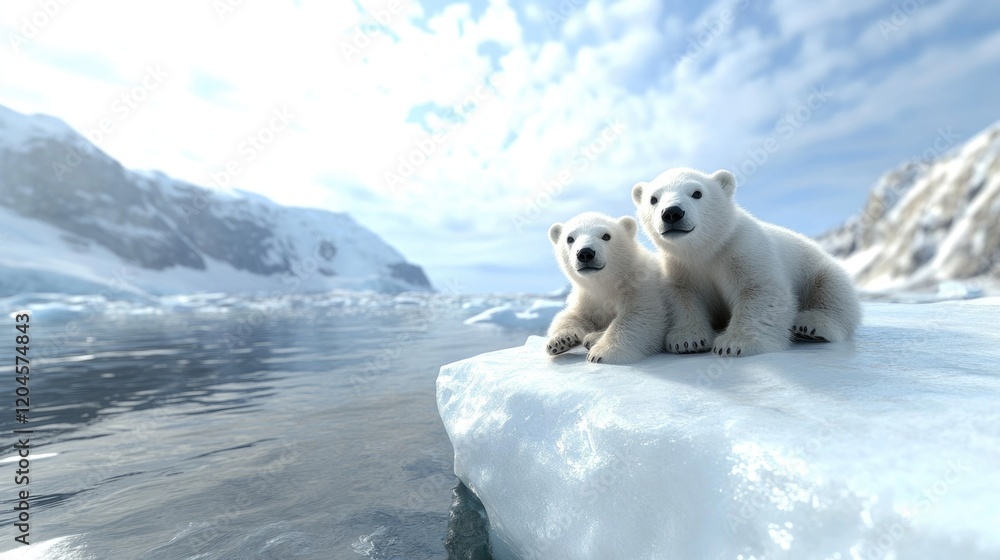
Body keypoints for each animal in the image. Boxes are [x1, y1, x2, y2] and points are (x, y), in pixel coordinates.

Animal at [545, 212, 669, 364]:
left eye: (606, 236)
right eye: (570, 238)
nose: (585, 253)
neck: (607, 284)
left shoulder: (641, 287)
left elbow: (638, 316)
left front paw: (601, 353)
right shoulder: (588, 298)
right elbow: (571, 315)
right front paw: (561, 341)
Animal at [631, 167, 861, 357]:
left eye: (697, 193)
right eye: (653, 199)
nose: (672, 213)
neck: (706, 249)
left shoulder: (742, 249)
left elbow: (759, 290)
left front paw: (734, 344)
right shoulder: (679, 266)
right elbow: (681, 295)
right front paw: (687, 340)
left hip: (817, 267)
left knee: (833, 290)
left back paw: (811, 327)